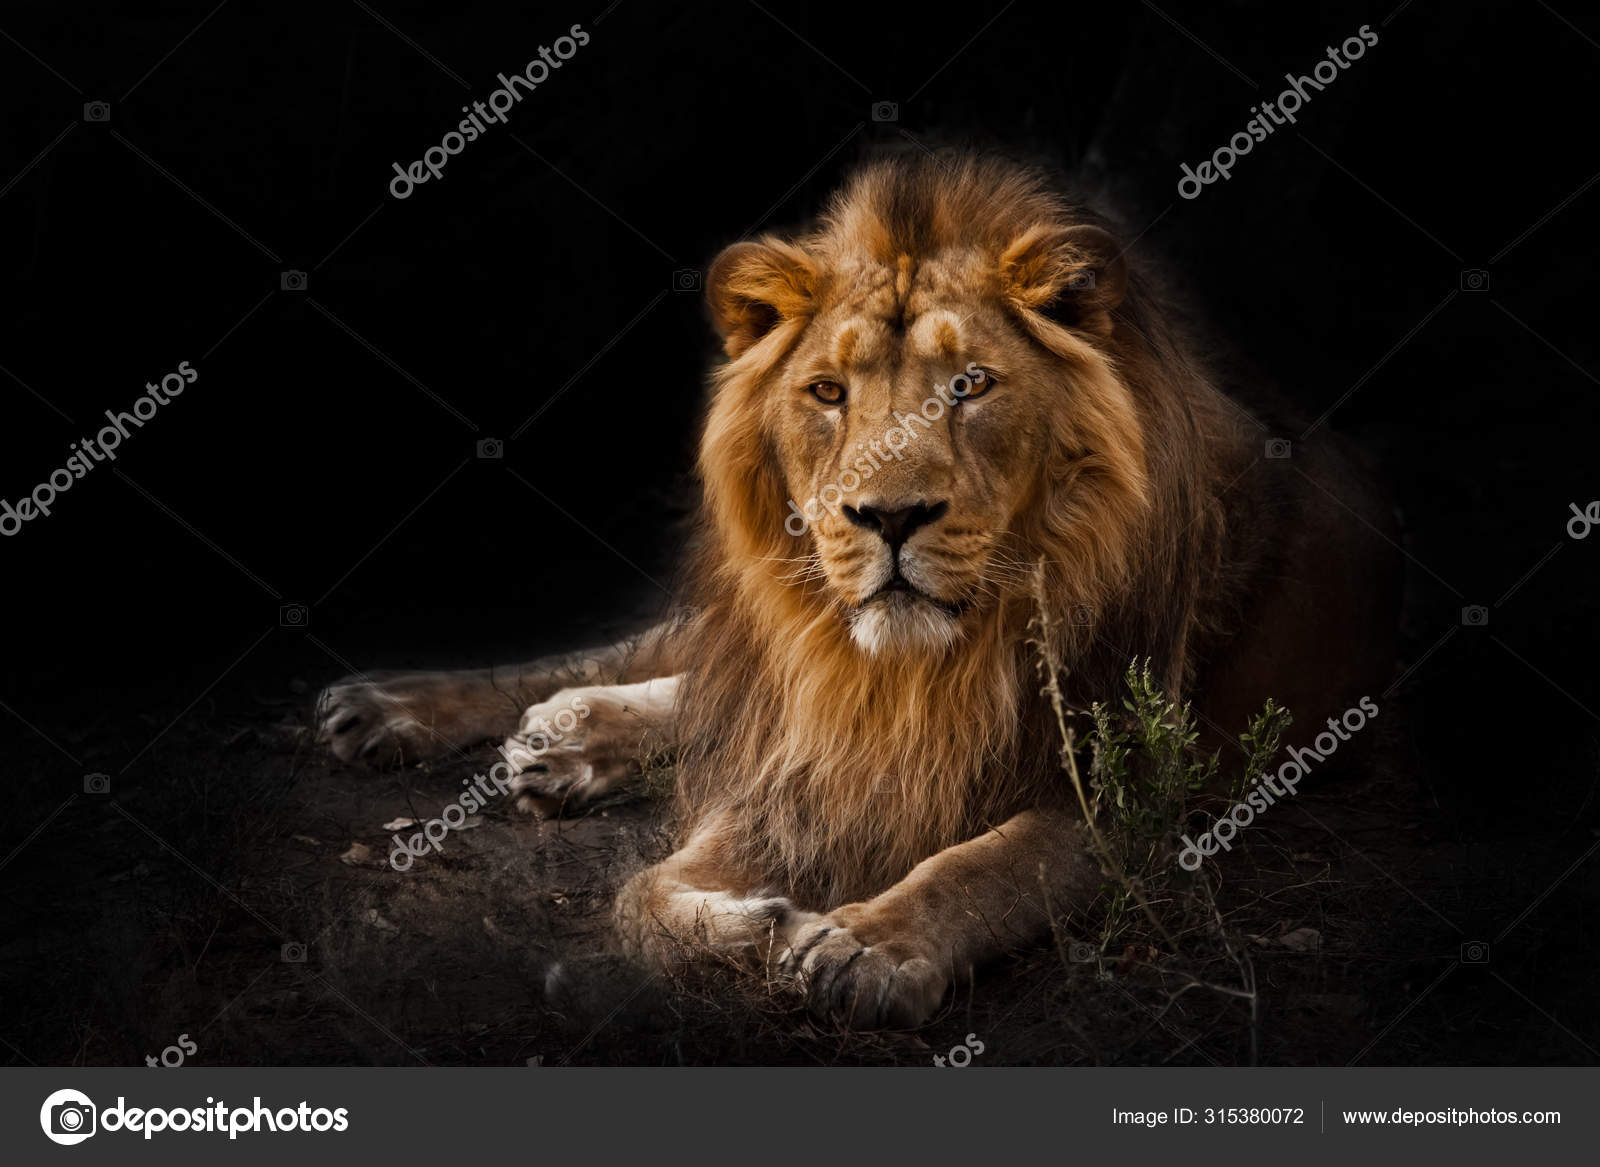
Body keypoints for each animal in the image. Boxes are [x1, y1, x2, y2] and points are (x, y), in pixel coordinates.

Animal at [315, 152, 1399, 1029]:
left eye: (971, 385)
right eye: (828, 393)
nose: (888, 516)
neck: (927, 664)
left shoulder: (1120, 787)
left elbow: (987, 864)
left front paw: (867, 945)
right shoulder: (800, 758)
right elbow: (644, 894)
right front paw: (758, 922)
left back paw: (564, 740)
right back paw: (424, 710)